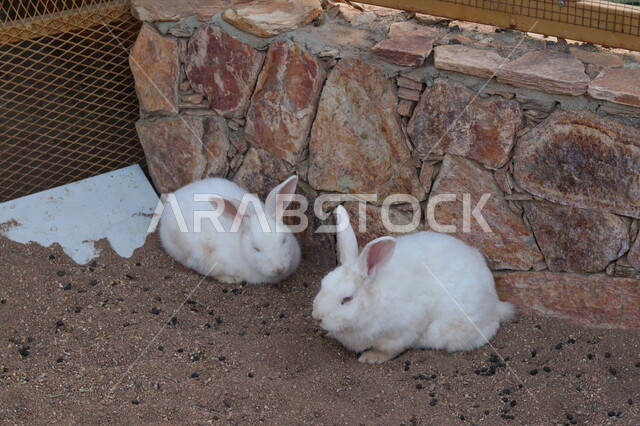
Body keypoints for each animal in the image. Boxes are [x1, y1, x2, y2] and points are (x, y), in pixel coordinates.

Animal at [312, 205, 515, 364]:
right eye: (323, 284)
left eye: (347, 299)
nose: (317, 317)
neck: (374, 301)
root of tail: (495, 303)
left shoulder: (404, 330)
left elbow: (390, 349)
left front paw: (371, 357)